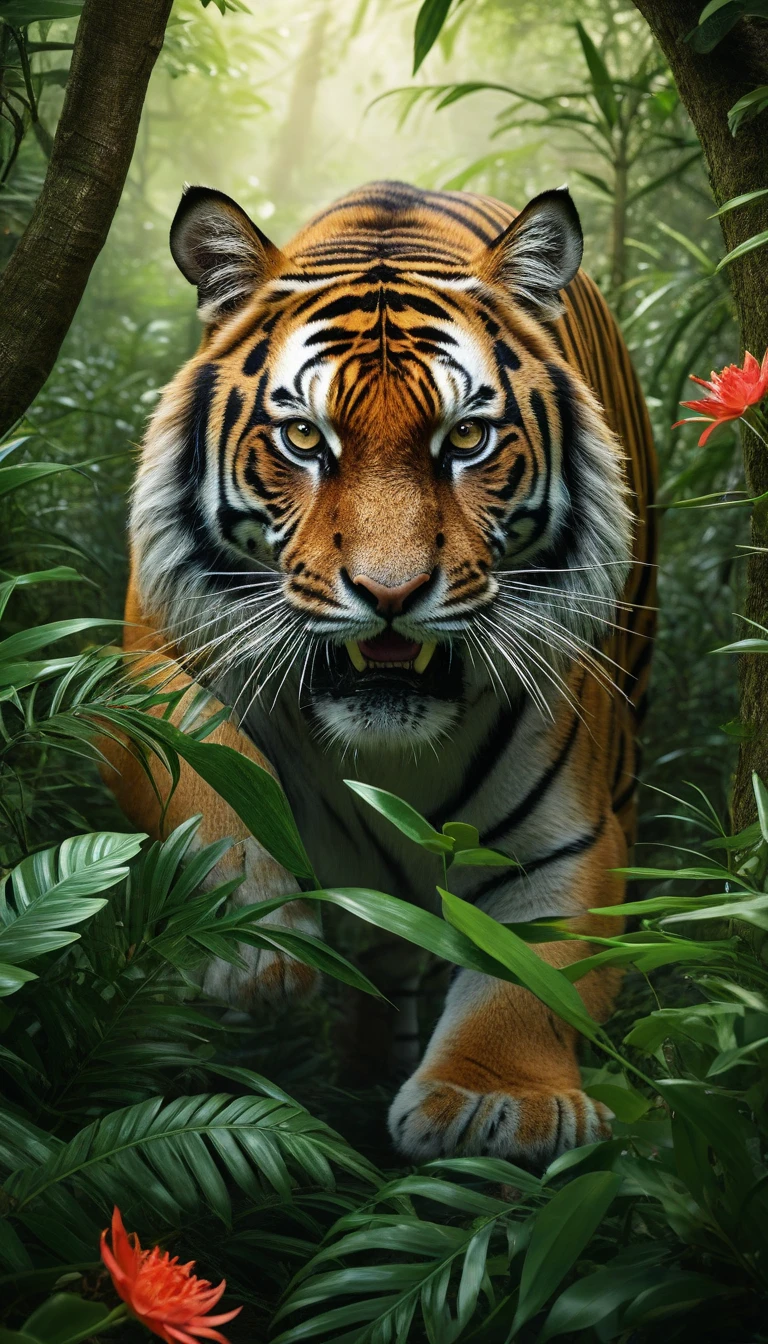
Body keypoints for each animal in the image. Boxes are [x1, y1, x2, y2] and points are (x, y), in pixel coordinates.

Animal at [105, 179, 656, 1167]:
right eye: (302, 437)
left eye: (467, 438)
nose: (390, 592)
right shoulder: (138, 669)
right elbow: (201, 782)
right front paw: (249, 951)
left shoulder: (576, 831)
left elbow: (541, 970)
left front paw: (495, 1101)